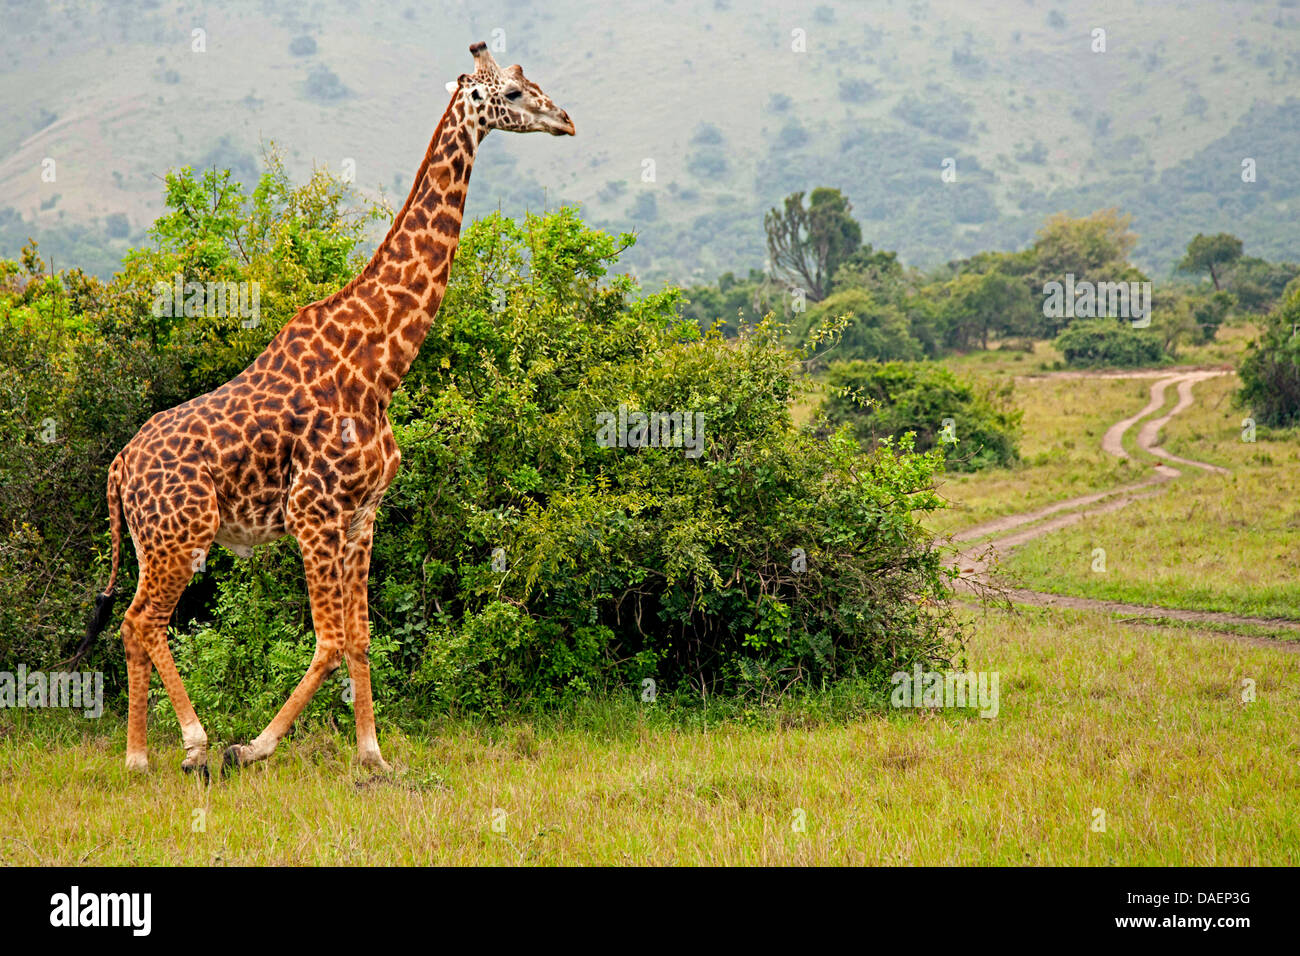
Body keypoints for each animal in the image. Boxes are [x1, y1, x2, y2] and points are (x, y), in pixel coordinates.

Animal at [71, 43, 574, 775]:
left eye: (531, 80)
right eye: (512, 92)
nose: (566, 121)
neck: (380, 366)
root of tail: (117, 470)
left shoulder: (363, 517)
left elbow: (359, 639)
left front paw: (374, 756)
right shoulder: (314, 513)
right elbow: (330, 639)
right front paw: (252, 746)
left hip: (151, 540)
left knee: (136, 625)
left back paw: (144, 756)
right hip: (182, 534)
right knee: (142, 621)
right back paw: (186, 747)